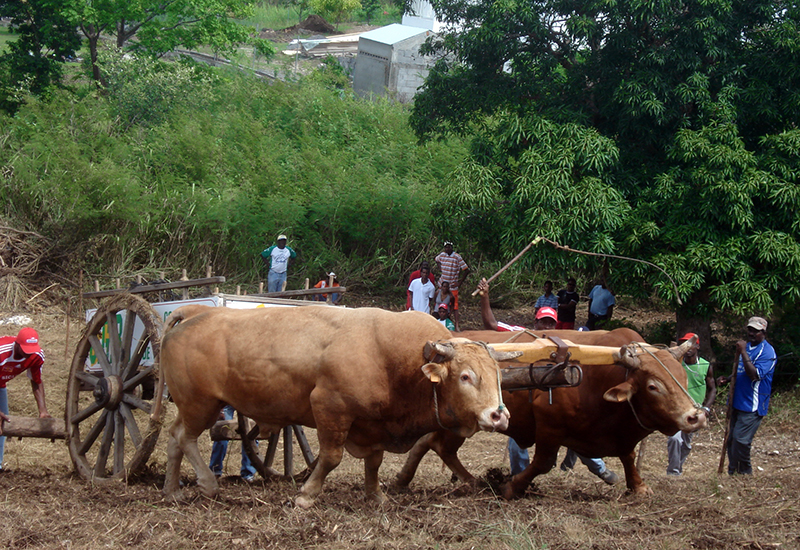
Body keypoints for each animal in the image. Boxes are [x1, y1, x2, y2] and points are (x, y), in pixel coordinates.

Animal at [152, 304, 520, 508]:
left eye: (497, 375)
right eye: (466, 376)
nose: (499, 416)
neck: (390, 356)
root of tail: (196, 313)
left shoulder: (374, 424)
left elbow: (374, 461)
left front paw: (375, 495)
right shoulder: (330, 408)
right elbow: (331, 457)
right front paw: (306, 495)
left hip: (196, 405)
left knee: (173, 437)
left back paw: (171, 491)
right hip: (200, 403)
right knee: (185, 437)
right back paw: (207, 484)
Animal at [395, 328, 708, 498]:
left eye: (684, 377)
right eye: (654, 386)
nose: (696, 416)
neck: (597, 376)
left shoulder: (622, 437)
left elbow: (629, 457)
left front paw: (638, 486)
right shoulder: (549, 427)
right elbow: (543, 463)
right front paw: (512, 486)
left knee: (428, 442)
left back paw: (403, 480)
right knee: (440, 446)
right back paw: (475, 482)